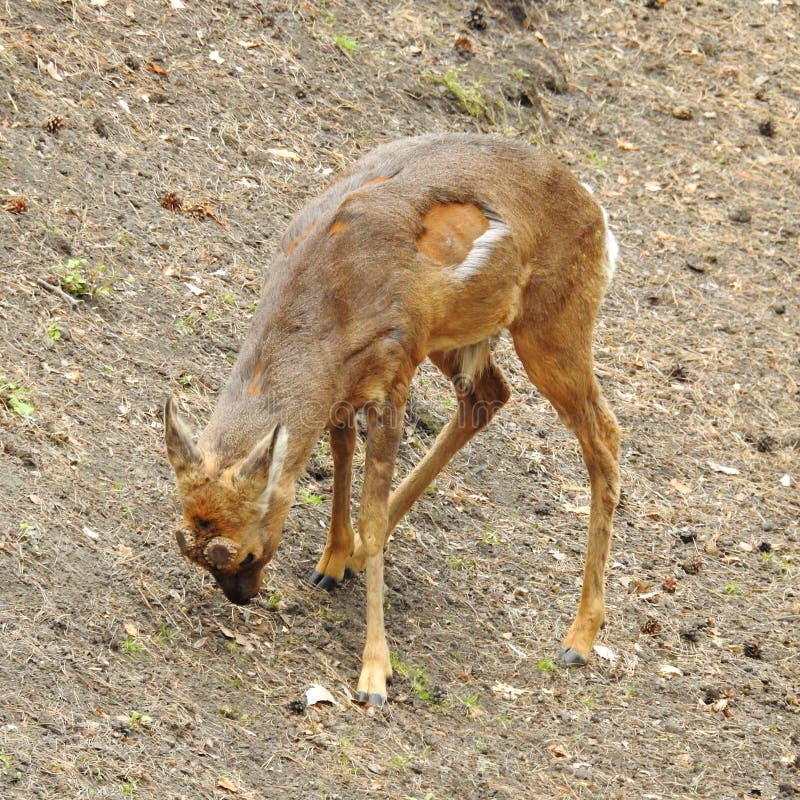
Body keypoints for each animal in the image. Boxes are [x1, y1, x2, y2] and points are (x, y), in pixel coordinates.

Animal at [164, 132, 620, 708]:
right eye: (198, 557)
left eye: (246, 555)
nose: (241, 598)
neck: (329, 300)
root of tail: (598, 215)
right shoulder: (347, 381)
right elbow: (339, 452)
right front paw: (334, 560)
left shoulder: (393, 365)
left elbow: (373, 513)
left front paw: (374, 676)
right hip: (456, 334)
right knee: (488, 396)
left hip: (552, 320)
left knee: (603, 434)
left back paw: (579, 638)